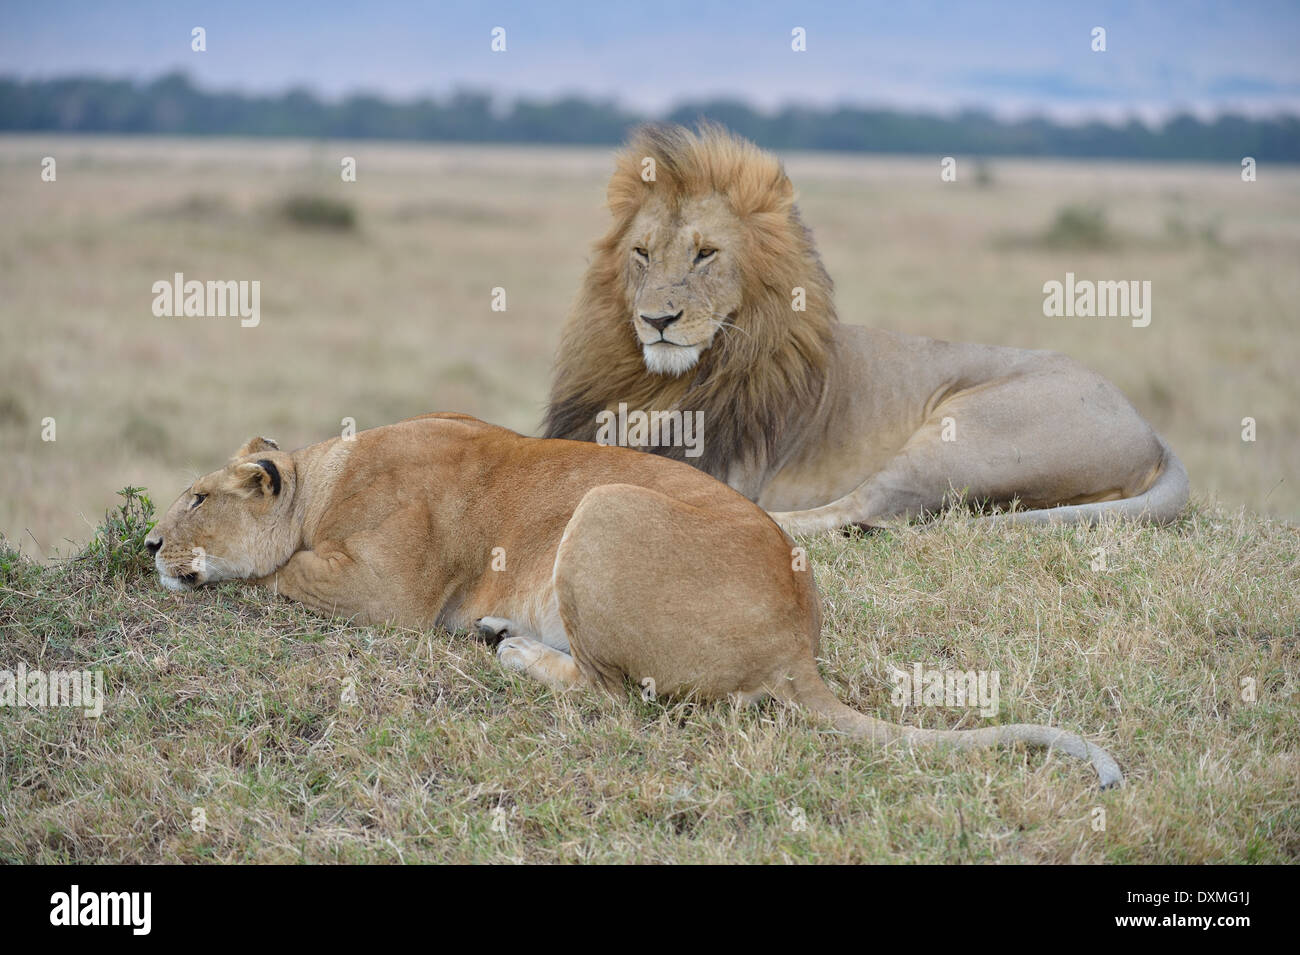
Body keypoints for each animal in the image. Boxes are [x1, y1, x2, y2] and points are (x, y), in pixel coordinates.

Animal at [144, 413, 1122, 786]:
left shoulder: (389, 589)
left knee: (610, 694)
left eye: (193, 497)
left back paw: (512, 646)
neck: (322, 479)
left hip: (605, 507)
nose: (148, 544)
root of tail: (800, 648)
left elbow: (274, 576)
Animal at [542, 124, 1188, 533]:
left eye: (705, 254)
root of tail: (1153, 432)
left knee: (865, 509)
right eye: (642, 254)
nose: (656, 320)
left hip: (964, 435)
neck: (661, 381)